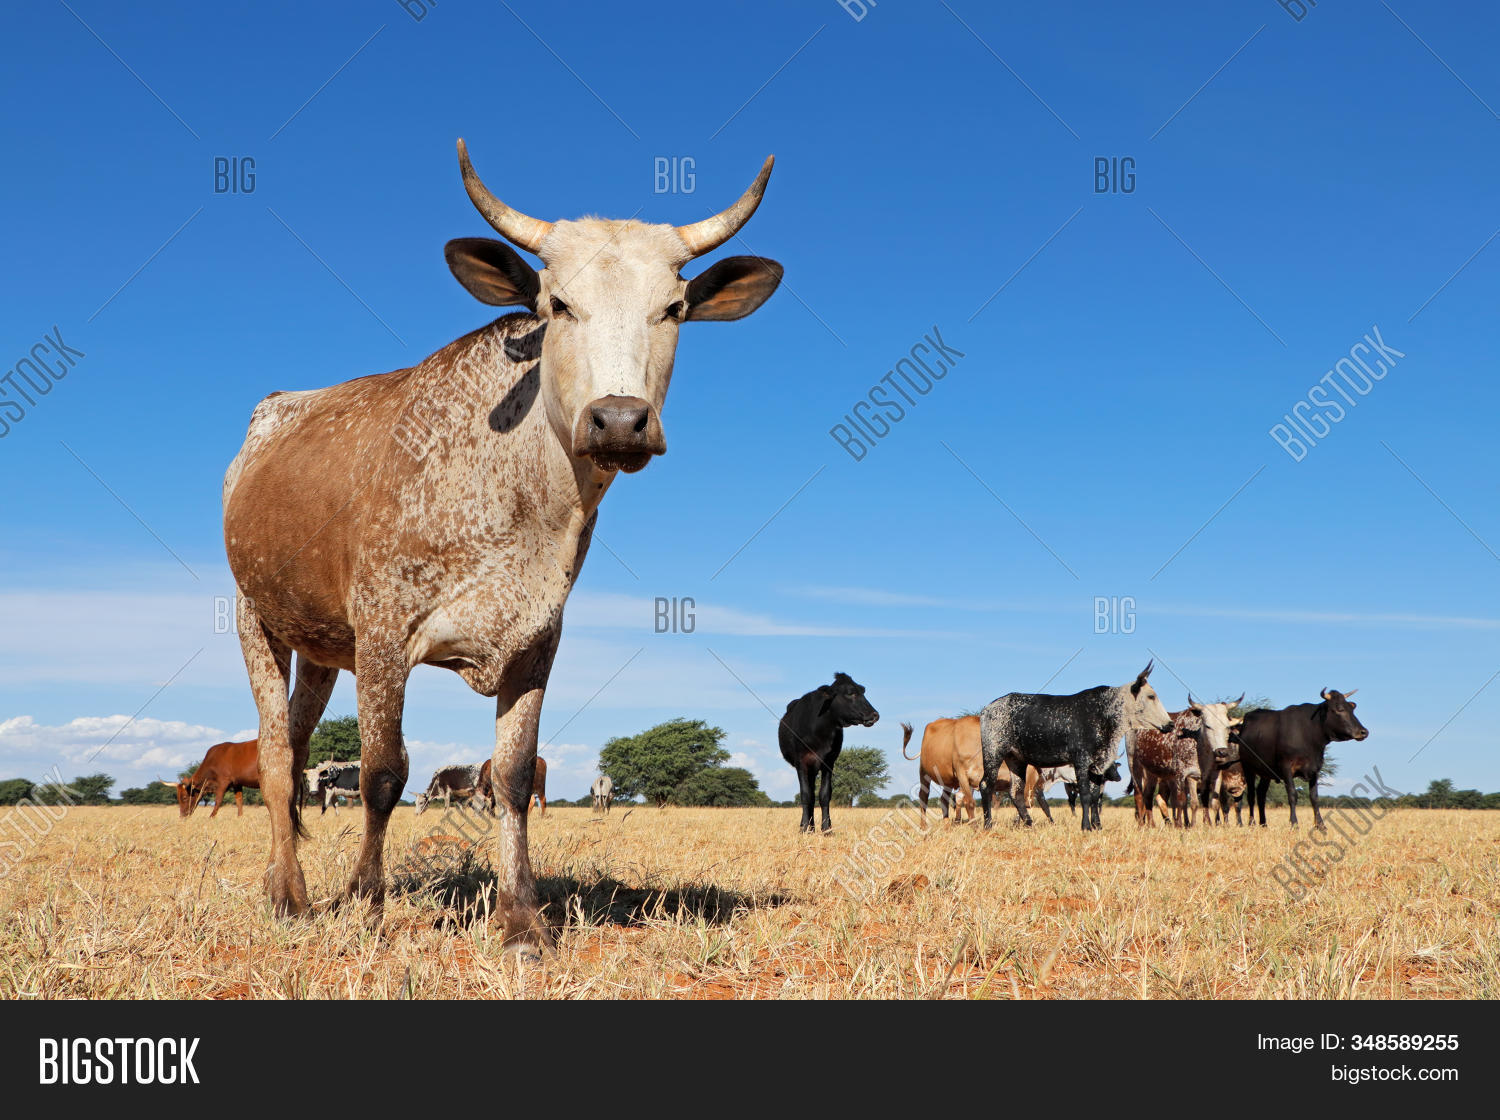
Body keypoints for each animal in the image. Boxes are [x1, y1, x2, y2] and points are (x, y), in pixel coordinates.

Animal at [223, 141, 783, 943]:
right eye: (557, 304)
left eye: (674, 308)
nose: (619, 420)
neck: (521, 501)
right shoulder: (386, 636)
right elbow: (382, 773)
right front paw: (367, 902)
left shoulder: (536, 643)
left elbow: (514, 776)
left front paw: (521, 918)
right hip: (254, 618)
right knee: (273, 756)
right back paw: (294, 897)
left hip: (323, 647)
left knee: (297, 750)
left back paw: (282, 879)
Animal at [779, 673, 880, 834]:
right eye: (850, 693)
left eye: (863, 691)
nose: (874, 715)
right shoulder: (801, 763)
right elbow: (805, 795)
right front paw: (804, 828)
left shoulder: (829, 762)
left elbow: (825, 794)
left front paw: (827, 829)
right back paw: (808, 826)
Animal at [979, 661, 1172, 831]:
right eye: (1151, 696)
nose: (1170, 724)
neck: (1105, 712)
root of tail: (987, 709)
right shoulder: (1081, 760)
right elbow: (1086, 796)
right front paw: (1086, 826)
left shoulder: (1097, 766)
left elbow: (1094, 797)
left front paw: (1097, 826)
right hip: (993, 753)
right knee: (986, 785)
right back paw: (988, 825)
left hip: (1016, 759)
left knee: (1016, 793)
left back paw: (1029, 825)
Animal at [1215, 688, 1368, 829]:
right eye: (1339, 709)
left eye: (1352, 709)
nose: (1363, 732)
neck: (1309, 733)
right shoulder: (1287, 768)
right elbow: (1292, 795)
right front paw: (1294, 823)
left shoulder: (1315, 769)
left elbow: (1314, 797)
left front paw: (1320, 825)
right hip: (1248, 768)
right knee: (1251, 795)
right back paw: (1252, 823)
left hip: (1266, 773)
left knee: (1261, 794)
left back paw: (1264, 823)